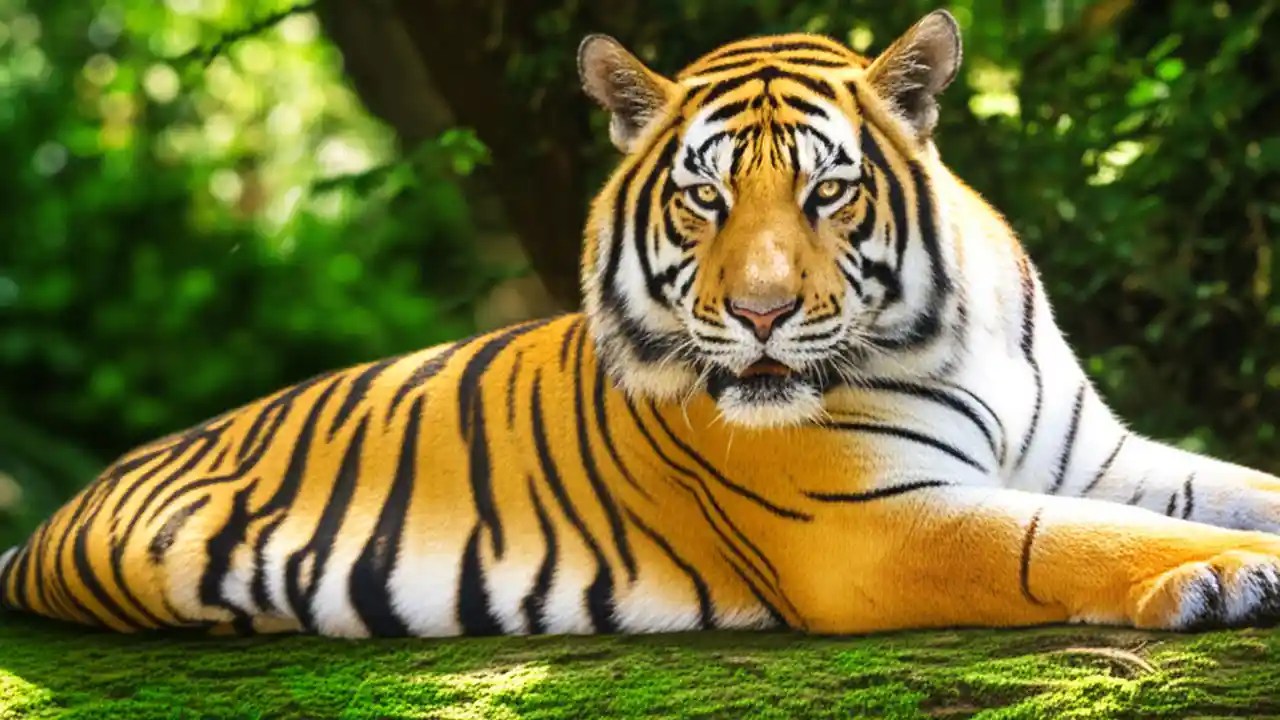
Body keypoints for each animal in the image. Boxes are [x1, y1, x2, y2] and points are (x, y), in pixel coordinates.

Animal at [4, 10, 1280, 639]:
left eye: (827, 190)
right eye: (702, 198)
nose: (759, 313)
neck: (954, 337)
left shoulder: (1102, 456)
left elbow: (1224, 486)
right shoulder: (867, 524)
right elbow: (1064, 541)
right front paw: (1229, 574)